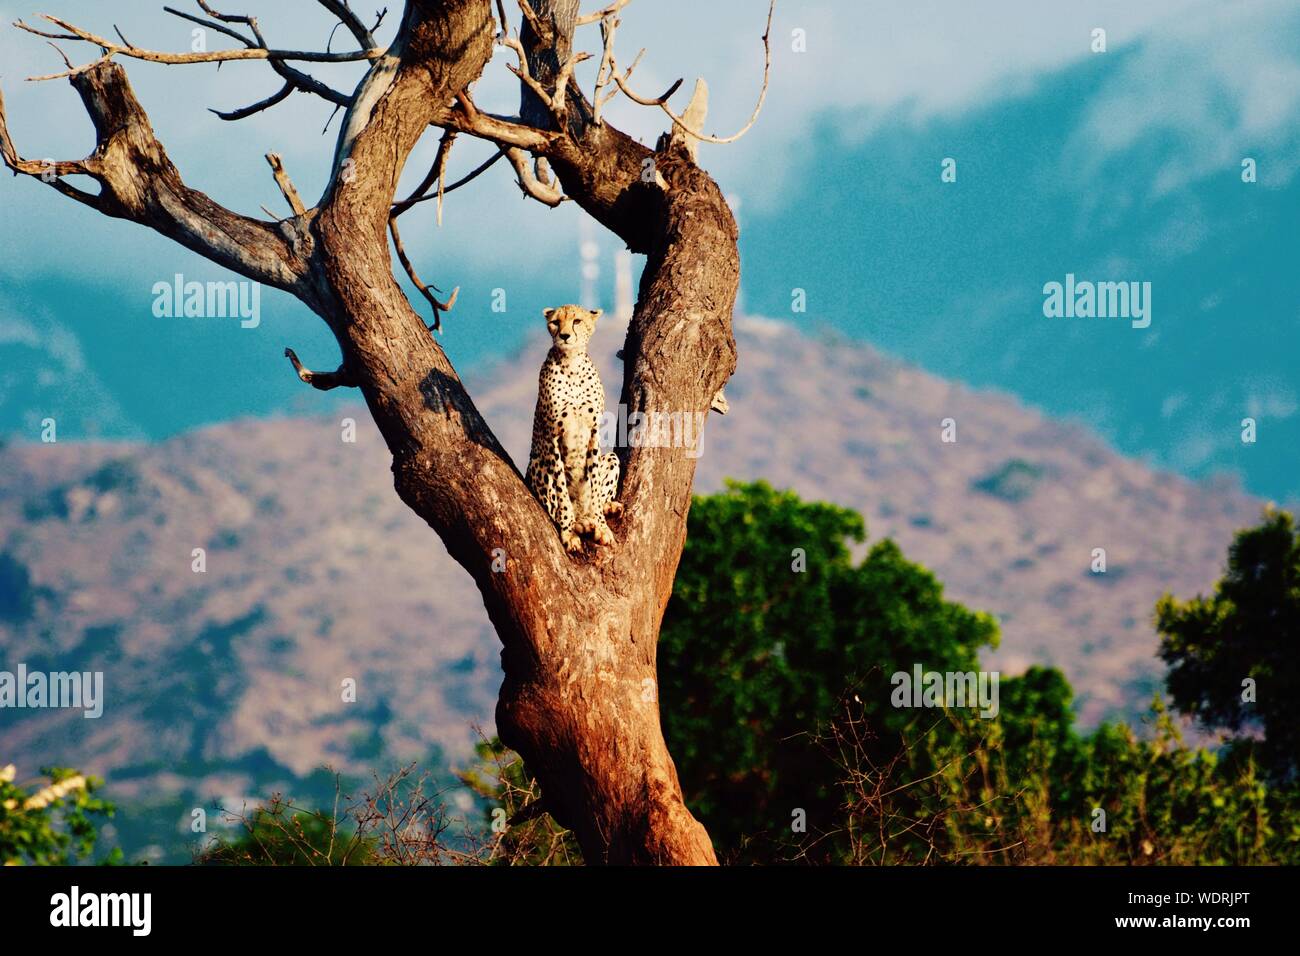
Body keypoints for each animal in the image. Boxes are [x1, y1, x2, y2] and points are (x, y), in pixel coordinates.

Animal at [524, 305, 623, 554]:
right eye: (555, 323)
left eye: (577, 321)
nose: (565, 336)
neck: (572, 366)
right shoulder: (553, 437)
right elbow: (561, 489)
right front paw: (569, 532)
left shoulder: (594, 432)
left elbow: (595, 486)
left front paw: (601, 525)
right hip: (538, 463)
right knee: (555, 506)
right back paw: (577, 523)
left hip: (612, 458)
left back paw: (604, 510)